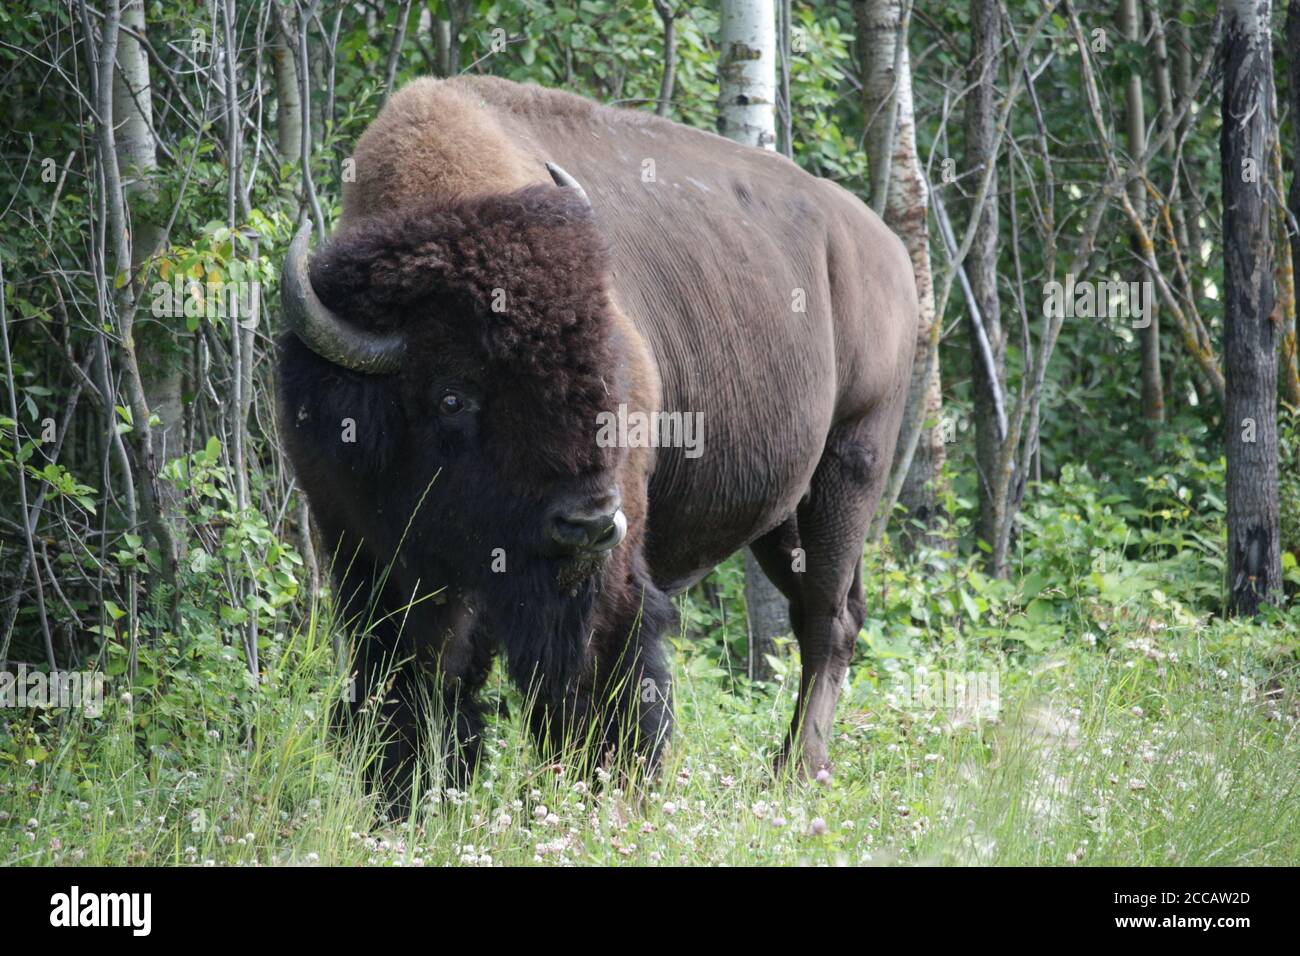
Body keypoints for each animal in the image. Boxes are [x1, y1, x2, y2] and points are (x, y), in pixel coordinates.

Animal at [277, 76, 917, 810]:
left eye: (605, 379)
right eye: (451, 397)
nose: (585, 522)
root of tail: (884, 248)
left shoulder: (604, 561)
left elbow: (592, 666)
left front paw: (607, 786)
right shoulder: (363, 547)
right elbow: (414, 671)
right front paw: (406, 796)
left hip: (849, 472)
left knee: (825, 623)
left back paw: (796, 771)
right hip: (782, 516)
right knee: (829, 613)